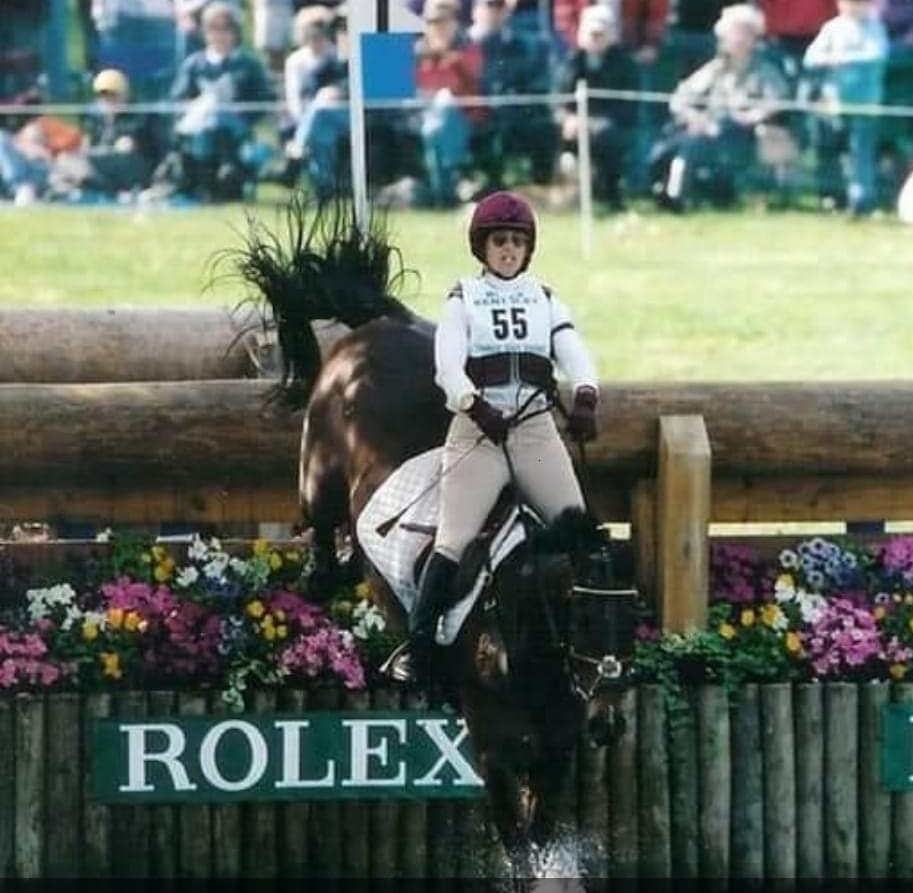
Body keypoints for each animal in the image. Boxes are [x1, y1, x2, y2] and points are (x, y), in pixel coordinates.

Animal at [220, 194, 635, 884]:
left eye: (634, 619)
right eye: (577, 614)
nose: (607, 725)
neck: (526, 641)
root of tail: (375, 326)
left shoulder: (553, 753)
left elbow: (543, 841)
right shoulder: (495, 752)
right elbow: (519, 849)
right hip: (319, 470)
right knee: (322, 528)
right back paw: (321, 576)